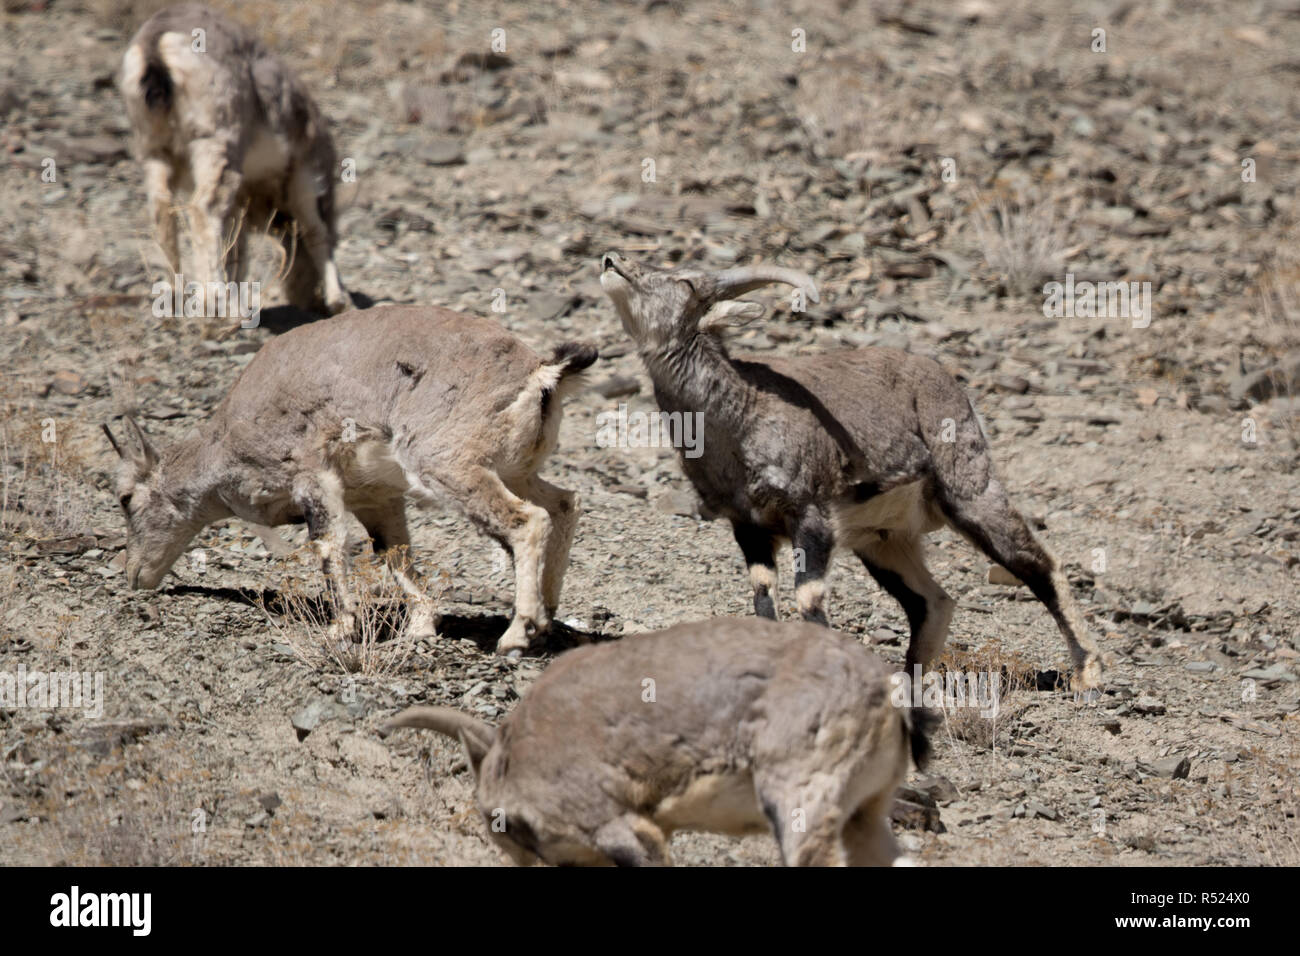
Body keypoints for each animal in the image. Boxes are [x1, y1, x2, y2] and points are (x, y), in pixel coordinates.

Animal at [101, 305, 597, 655]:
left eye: (125, 498)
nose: (133, 574)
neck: (227, 441)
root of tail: (541, 374)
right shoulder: (376, 499)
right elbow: (395, 556)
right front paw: (420, 629)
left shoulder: (313, 480)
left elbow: (330, 547)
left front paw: (340, 629)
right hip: (516, 471)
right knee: (564, 504)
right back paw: (547, 617)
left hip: (451, 468)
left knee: (527, 521)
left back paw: (518, 634)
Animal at [118, 2, 350, 317]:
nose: (308, 301)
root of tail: (156, 44)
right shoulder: (303, 178)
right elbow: (317, 233)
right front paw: (339, 300)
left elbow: (235, 251)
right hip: (215, 146)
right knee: (202, 209)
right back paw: (213, 301)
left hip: (156, 155)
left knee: (162, 213)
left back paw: (176, 300)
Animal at [597, 251, 1104, 696]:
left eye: (685, 282)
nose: (612, 261)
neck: (738, 419)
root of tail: (946, 379)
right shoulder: (748, 525)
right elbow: (763, 594)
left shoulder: (810, 513)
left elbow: (808, 597)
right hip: (882, 540)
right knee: (932, 601)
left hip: (970, 492)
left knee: (1038, 564)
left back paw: (1087, 673)